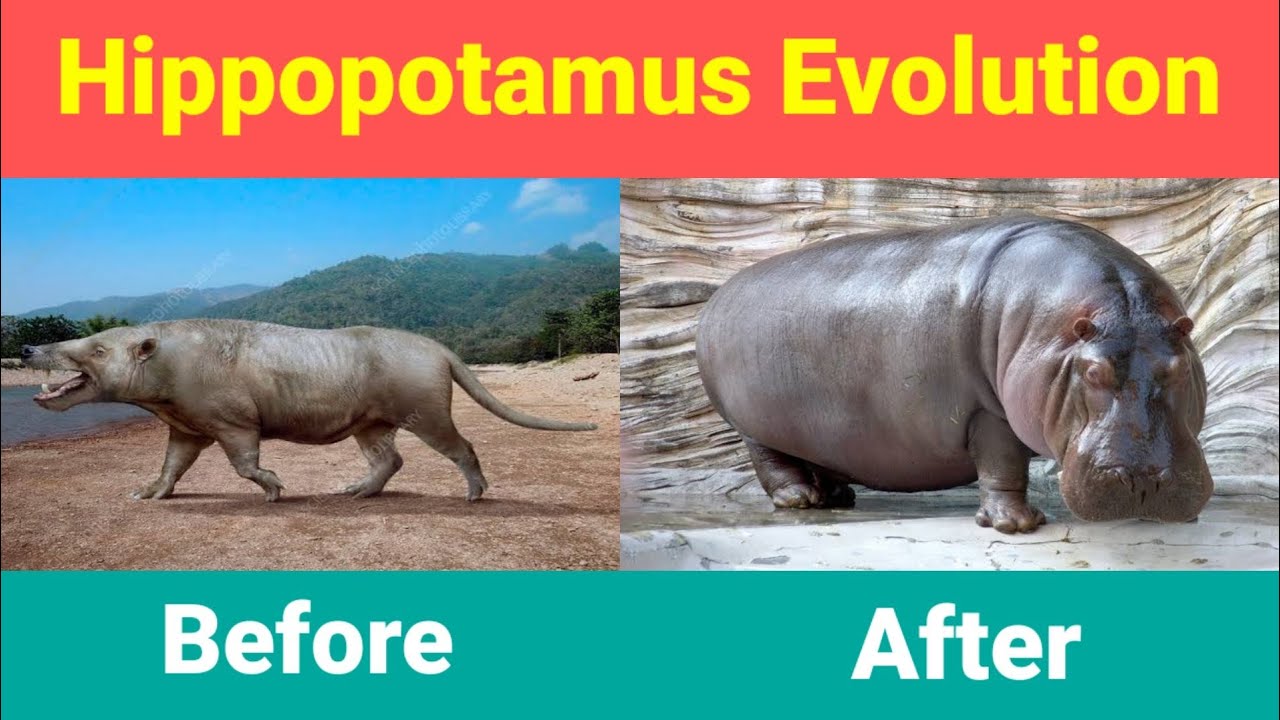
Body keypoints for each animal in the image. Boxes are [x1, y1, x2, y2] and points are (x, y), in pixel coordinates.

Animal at [21, 319, 596, 502]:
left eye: (97, 349)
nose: (27, 349)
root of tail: (439, 349)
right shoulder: (186, 426)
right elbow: (171, 465)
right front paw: (145, 494)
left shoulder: (232, 421)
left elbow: (245, 463)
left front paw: (275, 490)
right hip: (371, 422)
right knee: (389, 459)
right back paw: (355, 492)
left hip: (425, 408)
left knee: (460, 446)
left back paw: (475, 495)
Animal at [696, 216, 1213, 534]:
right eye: (1091, 371)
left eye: (1178, 366)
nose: (1144, 480)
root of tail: (719, 297)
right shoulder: (988, 412)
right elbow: (1003, 465)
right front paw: (1017, 526)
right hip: (750, 424)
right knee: (771, 462)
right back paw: (800, 499)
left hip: (819, 429)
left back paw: (837, 494)